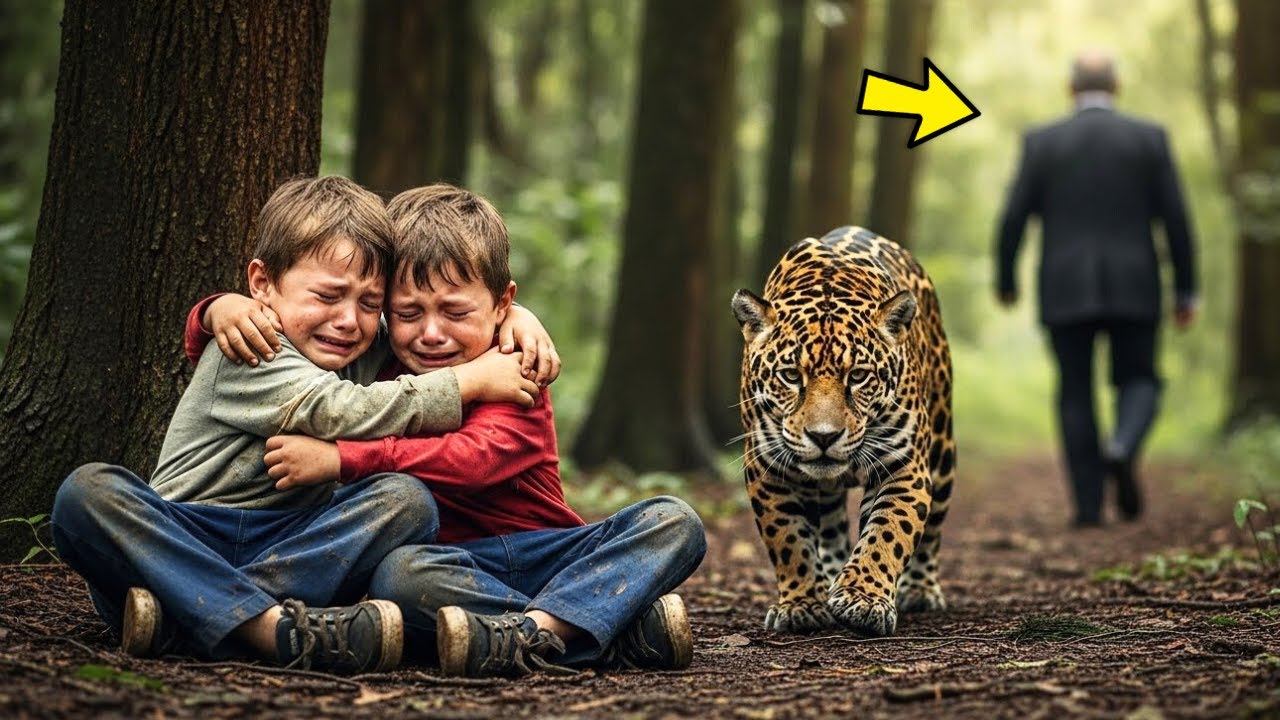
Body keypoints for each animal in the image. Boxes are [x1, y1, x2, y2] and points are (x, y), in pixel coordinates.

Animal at [731, 225, 955, 637]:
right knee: (831, 527)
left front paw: (862, 598)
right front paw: (802, 603)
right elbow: (788, 538)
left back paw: (919, 590)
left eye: (858, 376)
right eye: (791, 376)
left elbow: (887, 532)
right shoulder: (767, 469)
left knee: (932, 529)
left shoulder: (903, 466)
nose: (823, 437)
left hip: (943, 451)